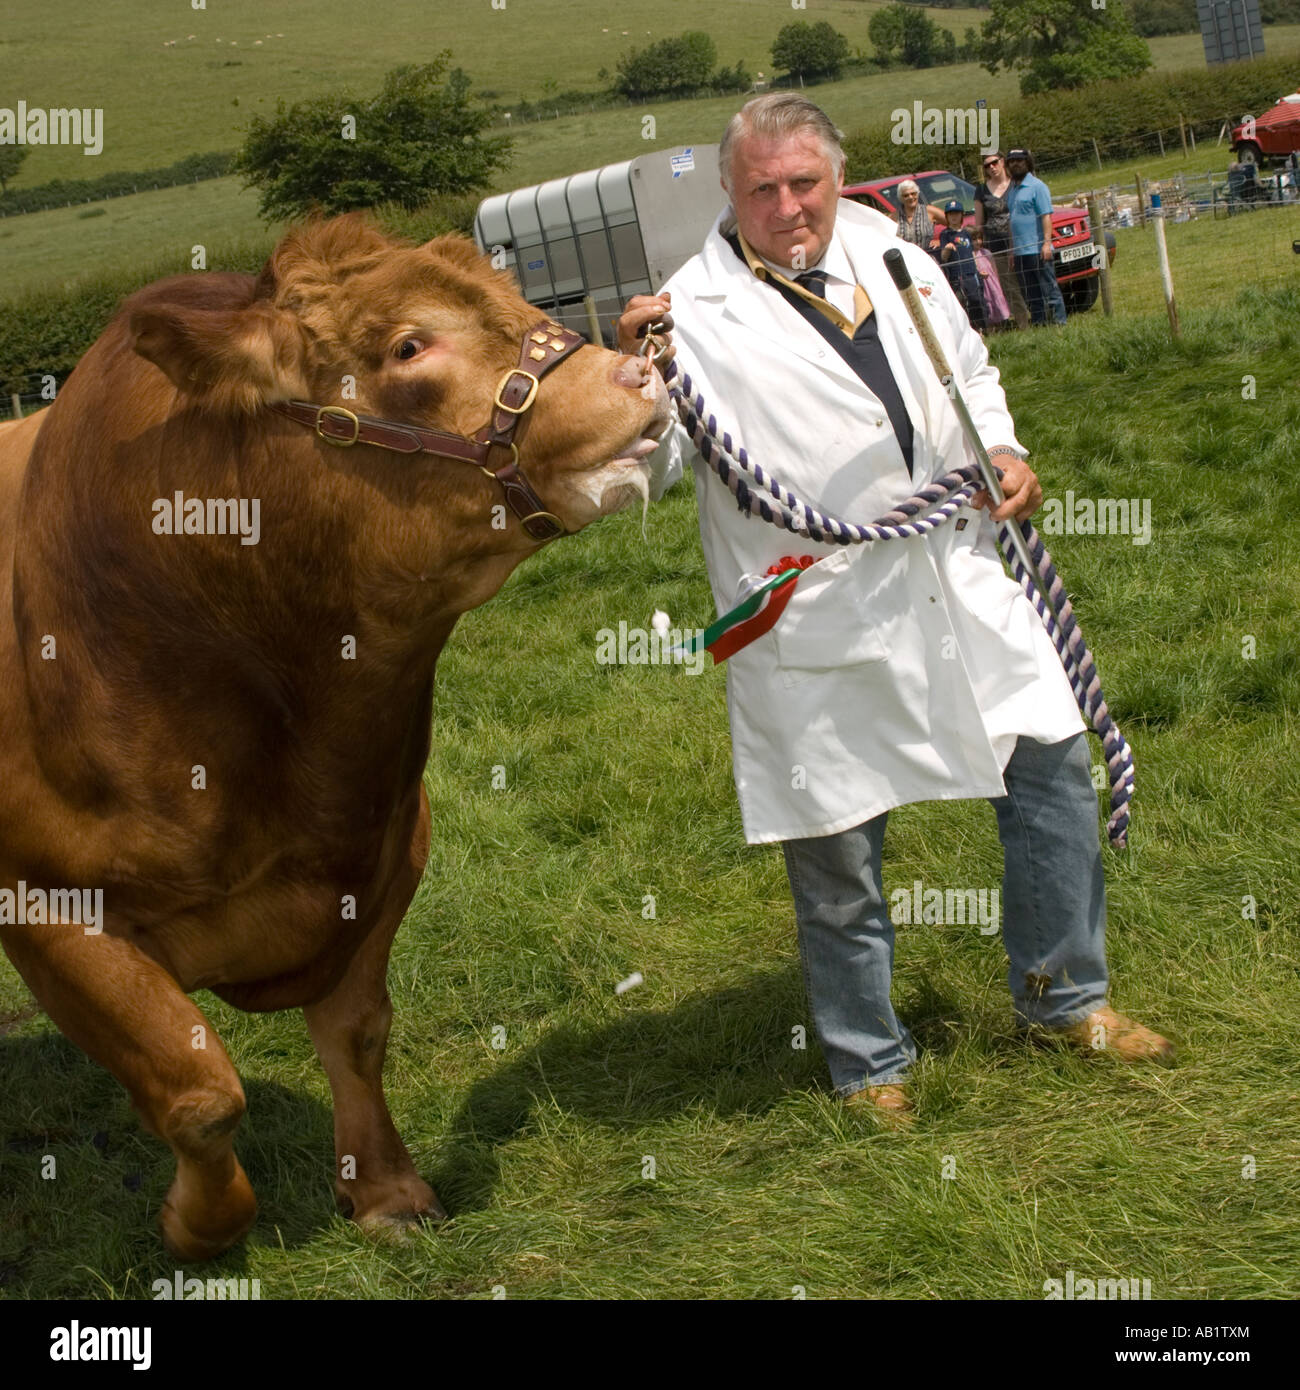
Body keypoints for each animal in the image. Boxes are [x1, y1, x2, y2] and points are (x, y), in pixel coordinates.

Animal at [0, 213, 670, 1260]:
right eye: (407, 347)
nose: (640, 373)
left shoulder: (387, 846)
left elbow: (358, 1034)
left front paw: (387, 1192)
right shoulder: (47, 909)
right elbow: (198, 1091)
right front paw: (196, 1228)